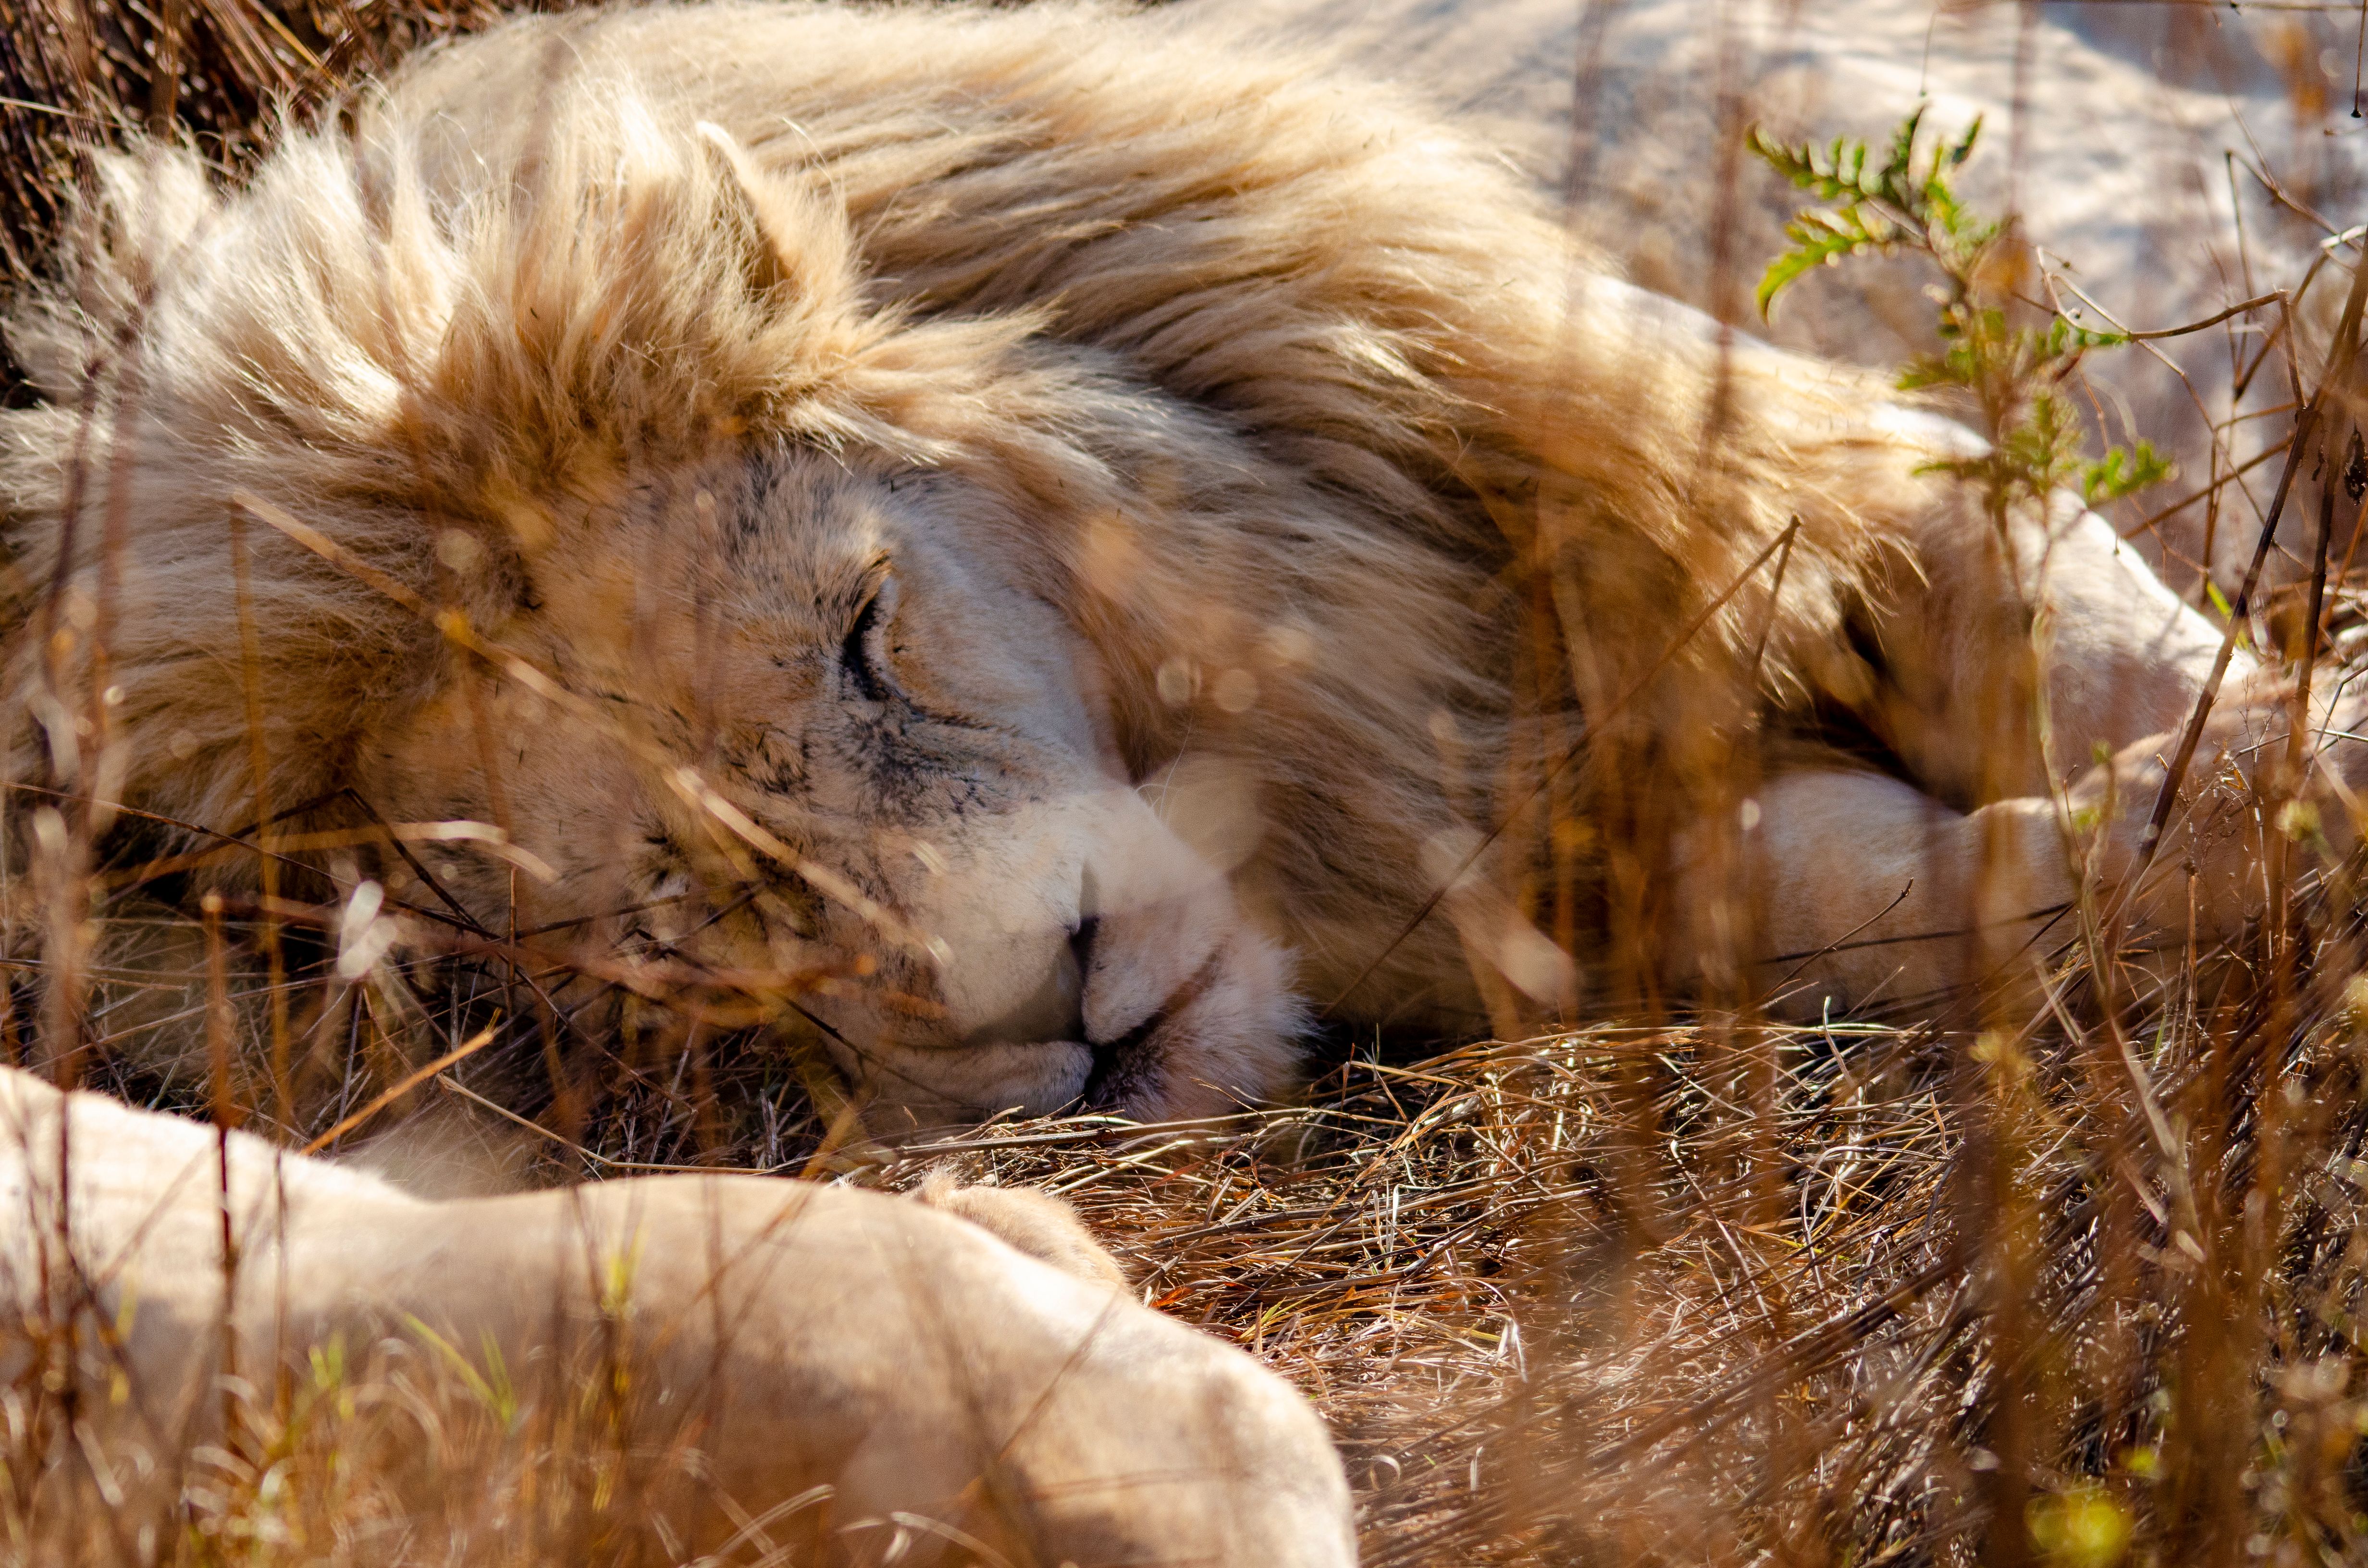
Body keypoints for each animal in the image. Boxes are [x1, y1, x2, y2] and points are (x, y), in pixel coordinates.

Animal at [1, 1, 2358, 1129]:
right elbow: (1898, 903)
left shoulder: (1782, 466)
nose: (1055, 1005)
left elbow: (2069, 622)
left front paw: (2295, 745)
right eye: (670, 907)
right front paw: (2221, 821)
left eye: (869, 631)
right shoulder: (1574, 881)